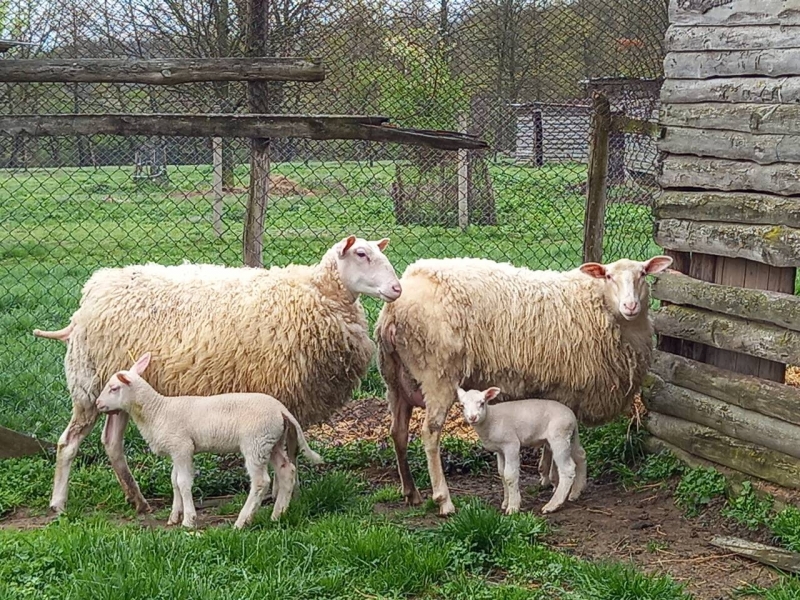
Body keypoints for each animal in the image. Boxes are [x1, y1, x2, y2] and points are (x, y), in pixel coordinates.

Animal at [34, 233, 404, 510]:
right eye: (361, 253)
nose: (397, 289)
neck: (316, 293)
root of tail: (90, 297)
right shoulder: (280, 393)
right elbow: (285, 453)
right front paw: (283, 495)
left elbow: (290, 450)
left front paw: (285, 493)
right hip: (88, 387)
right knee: (68, 443)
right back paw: (59, 503)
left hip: (121, 391)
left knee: (111, 444)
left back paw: (138, 501)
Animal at [97, 354, 324, 528]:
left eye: (114, 388)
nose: (98, 403)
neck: (158, 410)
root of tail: (281, 409)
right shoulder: (177, 450)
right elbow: (174, 481)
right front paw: (174, 516)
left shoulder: (182, 446)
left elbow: (183, 482)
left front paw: (189, 520)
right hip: (272, 441)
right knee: (287, 471)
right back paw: (278, 515)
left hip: (255, 443)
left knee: (261, 482)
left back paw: (242, 521)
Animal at [456, 390, 588, 516]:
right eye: (462, 405)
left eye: (482, 403)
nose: (473, 417)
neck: (491, 419)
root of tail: (573, 417)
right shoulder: (500, 450)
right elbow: (502, 473)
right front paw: (506, 502)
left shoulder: (511, 445)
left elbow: (510, 475)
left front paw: (513, 506)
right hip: (569, 438)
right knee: (581, 455)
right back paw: (576, 492)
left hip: (558, 437)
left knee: (568, 469)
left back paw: (553, 505)